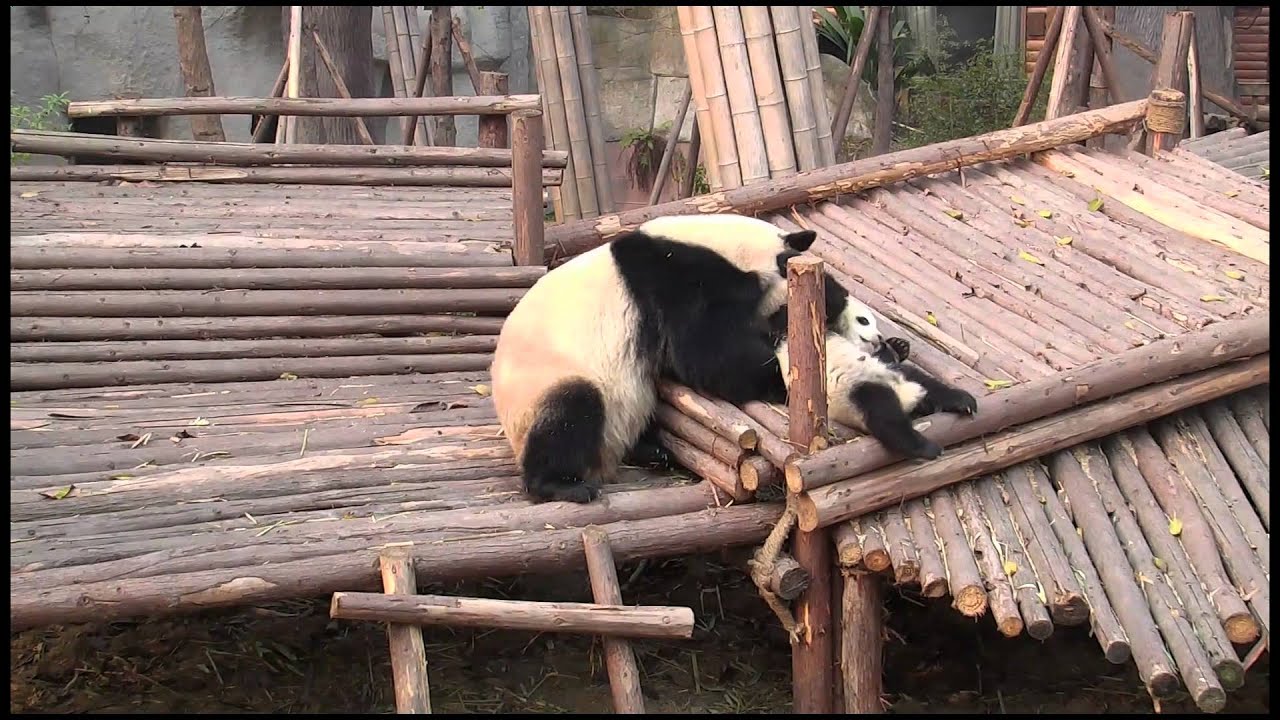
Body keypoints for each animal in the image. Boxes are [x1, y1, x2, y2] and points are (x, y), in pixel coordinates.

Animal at [492, 213, 847, 504]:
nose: (841, 297)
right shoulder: (679, 282)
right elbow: (706, 353)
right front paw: (780, 380)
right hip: (544, 385)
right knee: (571, 411)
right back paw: (564, 485)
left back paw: (653, 452)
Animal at [769, 292, 979, 461]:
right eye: (864, 320)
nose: (879, 338)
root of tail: (906, 395)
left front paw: (896, 346)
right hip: (853, 393)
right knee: (886, 418)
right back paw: (929, 448)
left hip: (891, 374)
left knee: (927, 384)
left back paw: (963, 401)